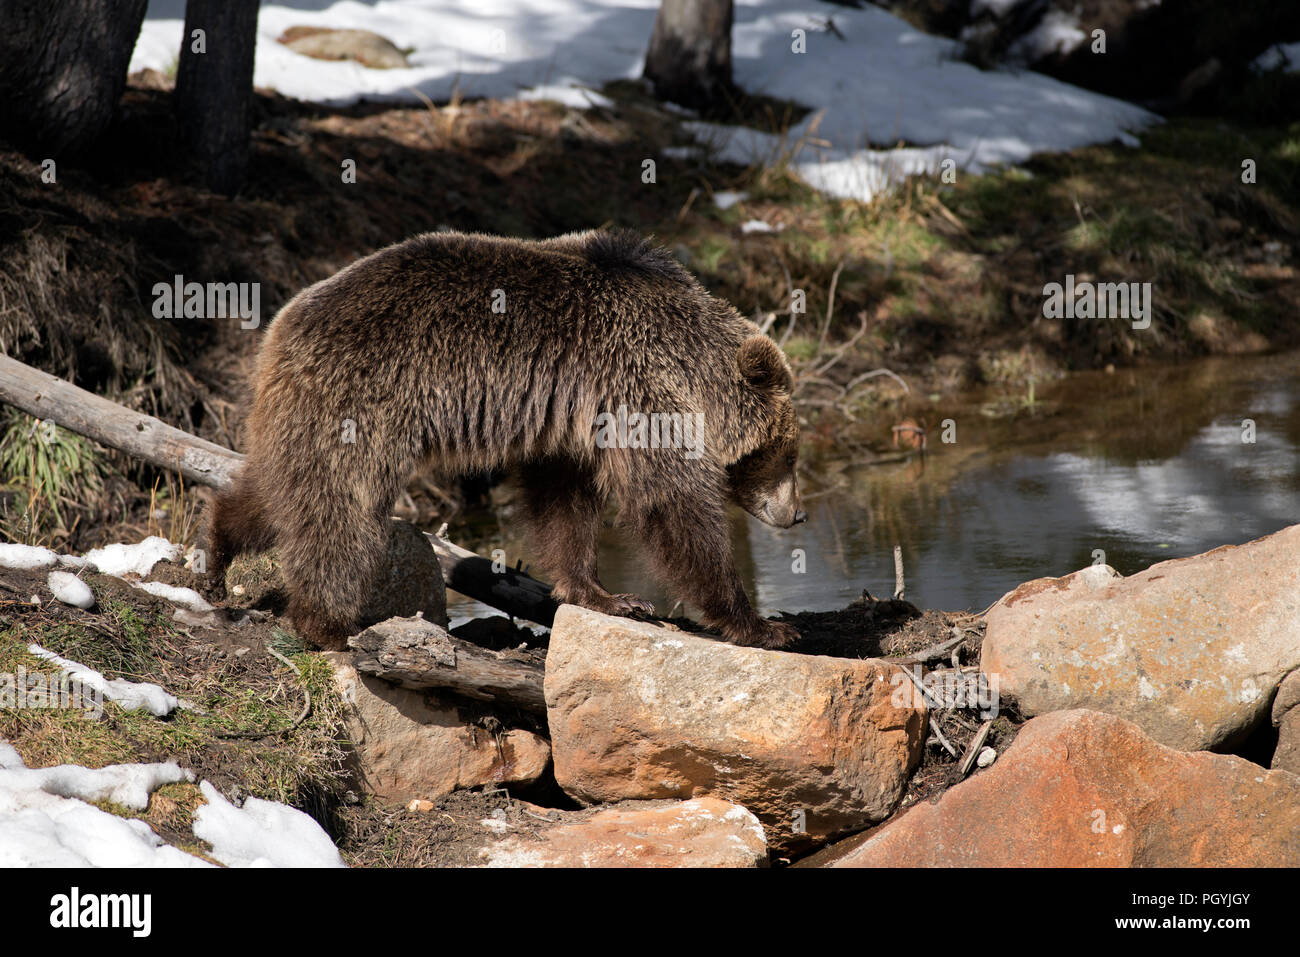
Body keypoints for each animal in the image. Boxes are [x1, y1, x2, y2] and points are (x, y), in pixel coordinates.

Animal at [206, 228, 805, 651]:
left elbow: (562, 504)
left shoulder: (571, 417)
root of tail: (283, 322)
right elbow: (673, 502)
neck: (689, 361)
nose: (796, 514)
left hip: (303, 412)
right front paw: (761, 624)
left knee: (274, 488)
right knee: (339, 509)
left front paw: (604, 595)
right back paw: (327, 624)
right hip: (364, 400)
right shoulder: (637, 384)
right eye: (786, 454)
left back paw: (218, 552)